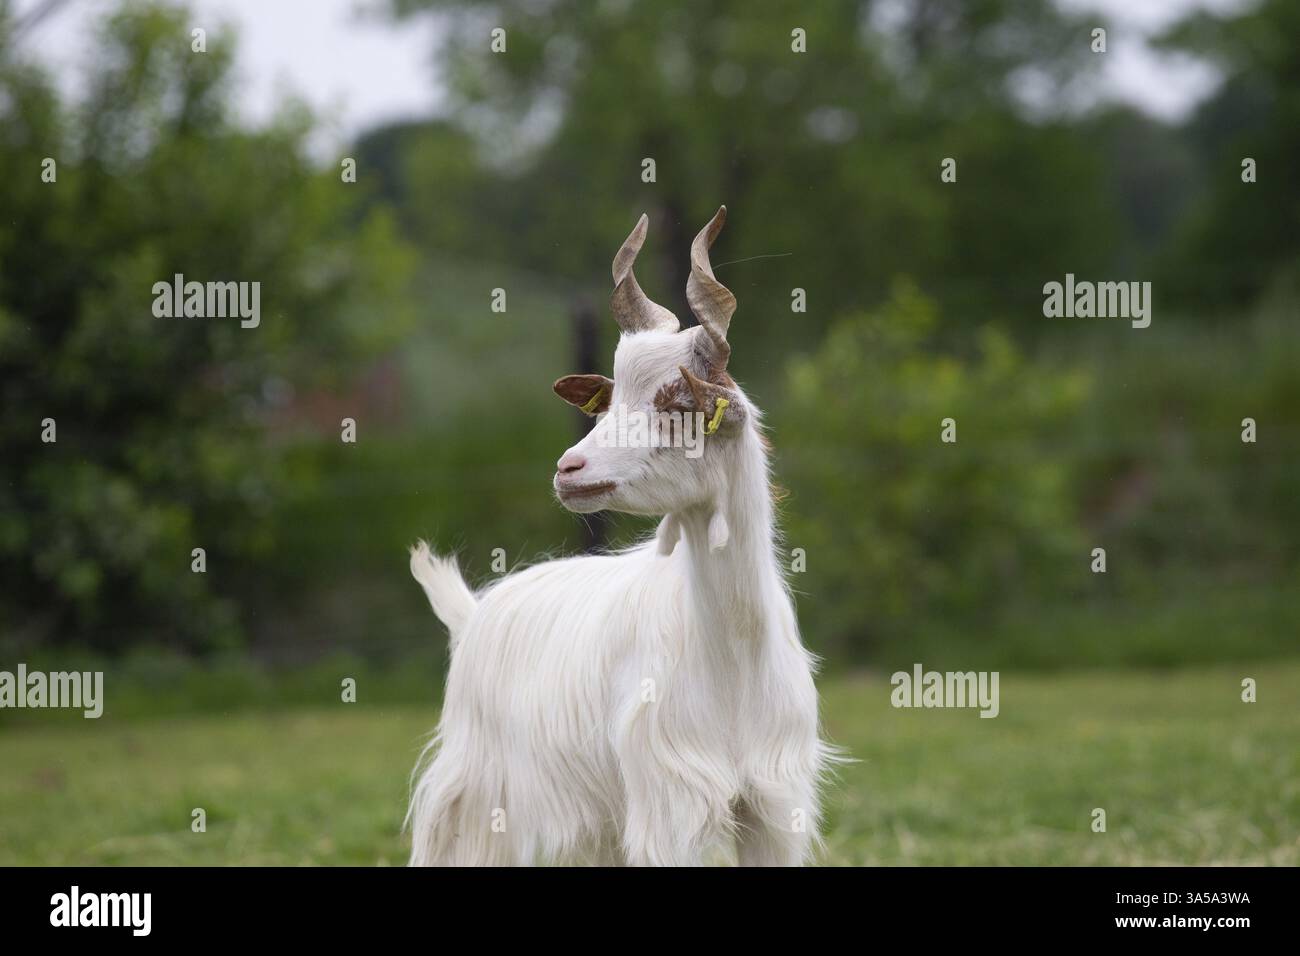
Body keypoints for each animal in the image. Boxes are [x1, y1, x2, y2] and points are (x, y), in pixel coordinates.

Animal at [407, 207, 833, 866]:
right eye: (610, 402)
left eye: (678, 403)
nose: (569, 469)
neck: (733, 663)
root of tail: (474, 611)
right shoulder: (670, 803)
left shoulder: (771, 807)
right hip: (474, 797)